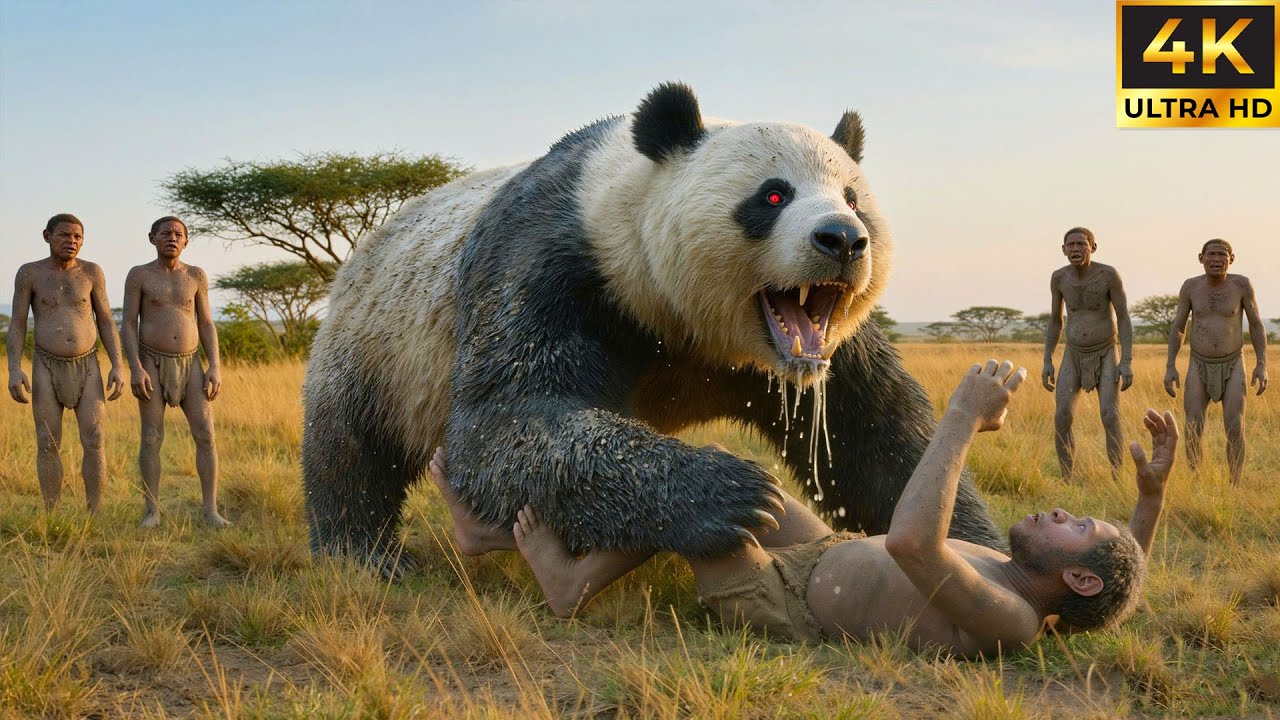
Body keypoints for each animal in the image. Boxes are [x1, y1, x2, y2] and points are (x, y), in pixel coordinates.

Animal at [302, 82, 1004, 575]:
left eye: (854, 197)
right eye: (773, 195)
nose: (843, 241)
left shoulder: (827, 349)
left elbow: (873, 434)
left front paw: (973, 545)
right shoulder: (555, 261)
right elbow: (506, 422)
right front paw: (735, 495)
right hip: (376, 340)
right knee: (350, 446)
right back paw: (365, 556)